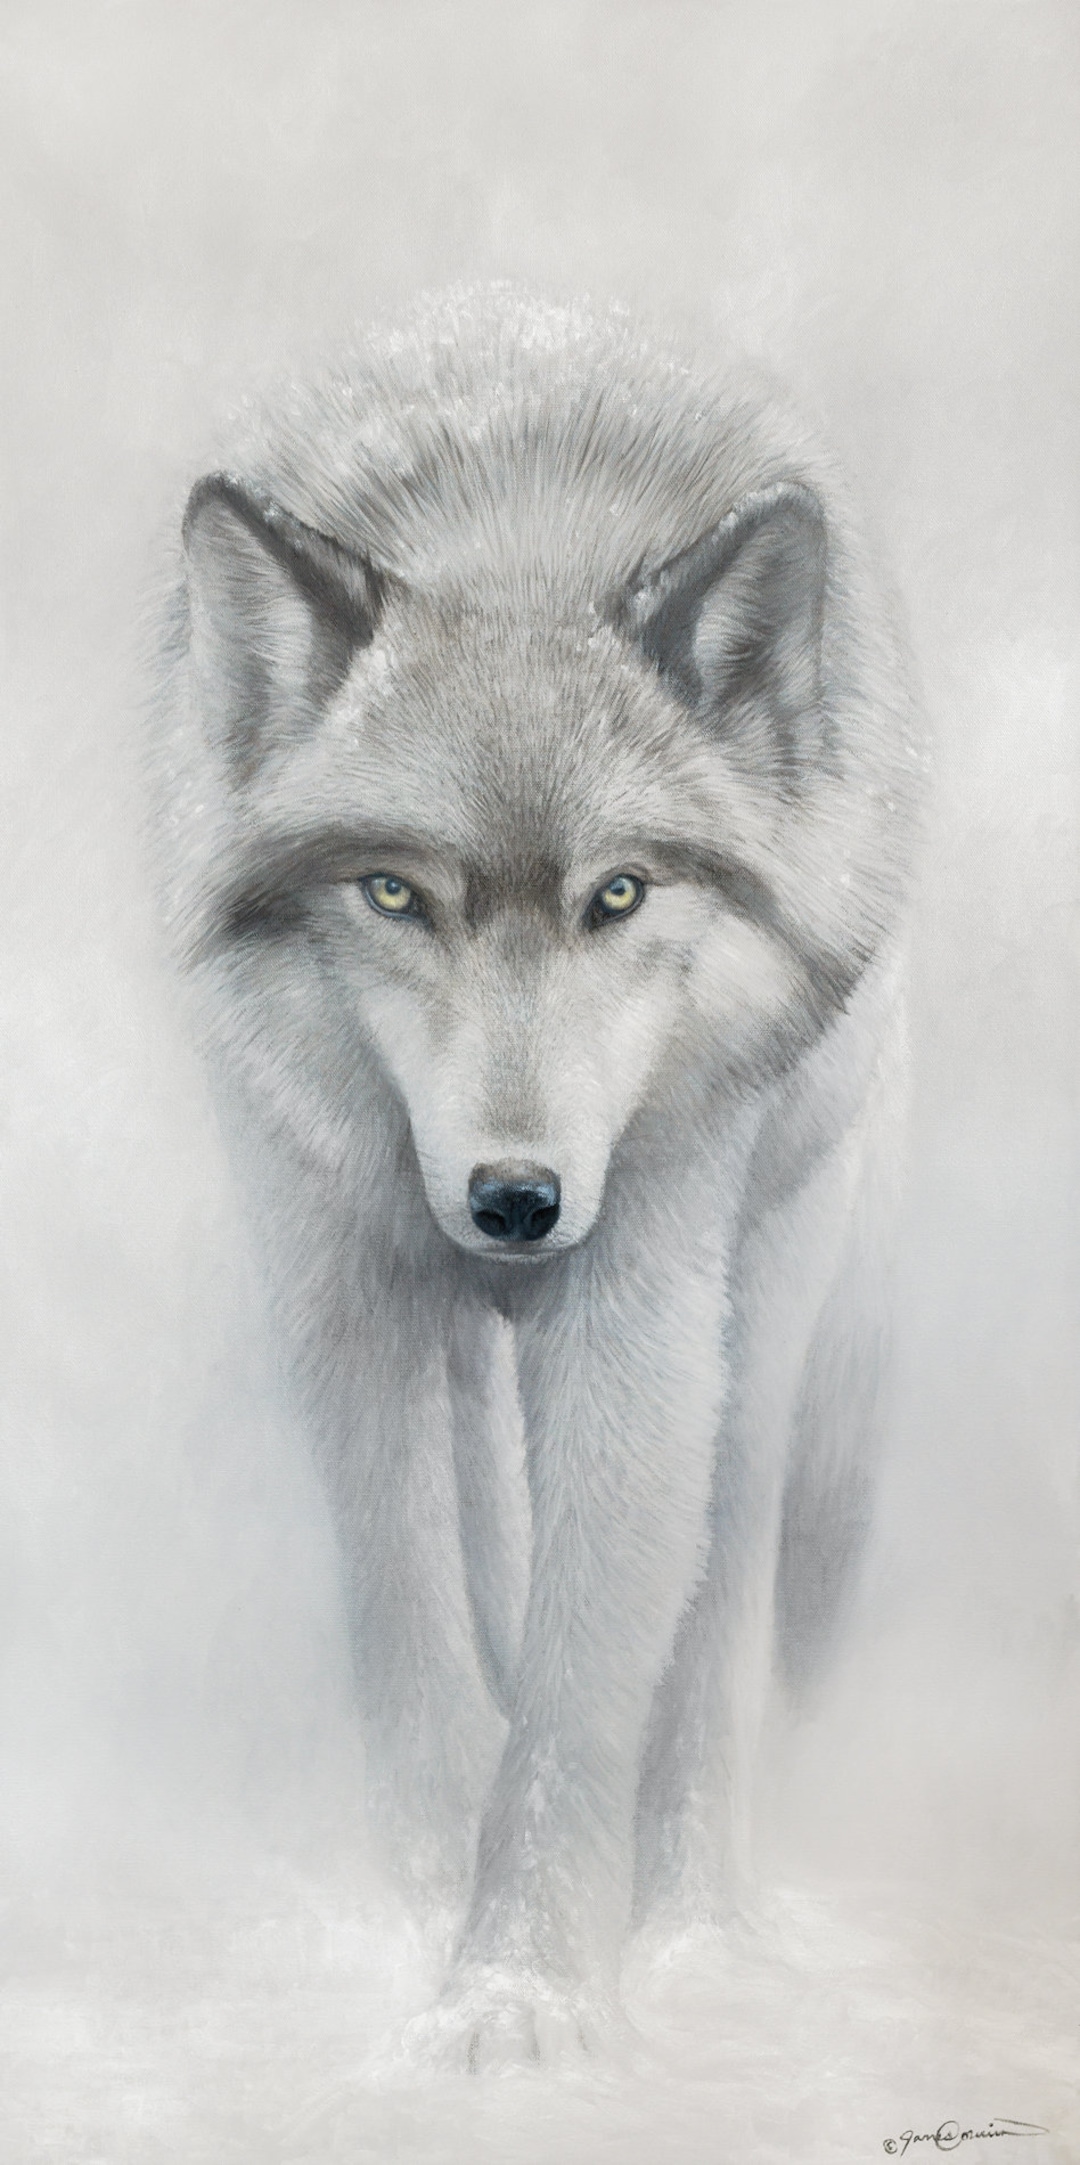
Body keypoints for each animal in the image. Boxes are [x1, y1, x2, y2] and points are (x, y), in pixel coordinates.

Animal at [158, 289, 920, 2066]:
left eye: (619, 894)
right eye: (393, 892)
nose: (516, 1201)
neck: (513, 535)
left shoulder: (645, 1283)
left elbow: (590, 1673)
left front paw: (524, 1990)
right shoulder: (333, 1262)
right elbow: (410, 1608)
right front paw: (428, 1904)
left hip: (766, 1293)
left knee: (716, 1613)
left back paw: (702, 1933)